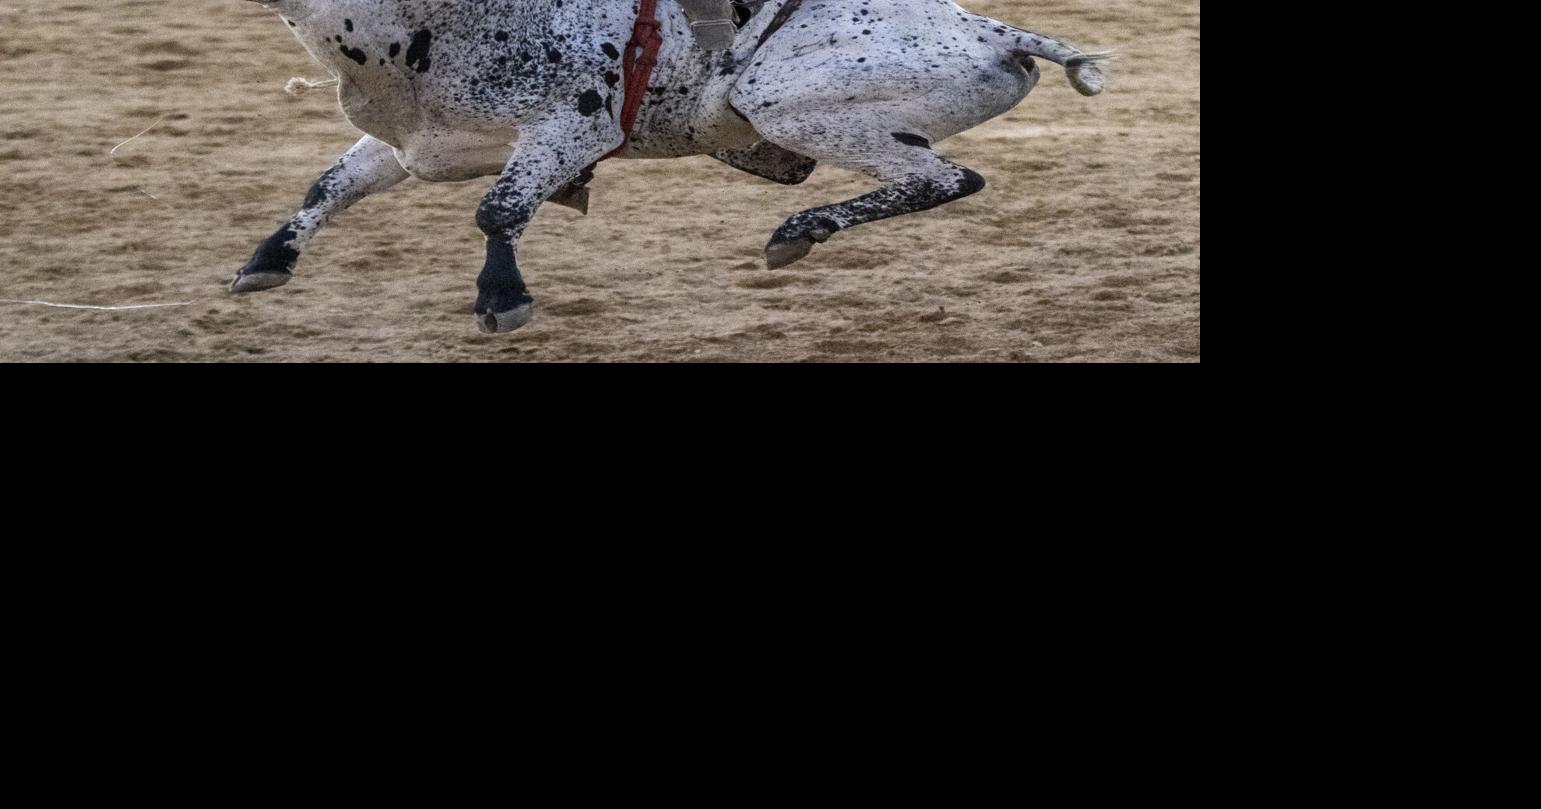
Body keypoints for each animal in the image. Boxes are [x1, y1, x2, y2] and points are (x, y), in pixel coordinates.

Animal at [234, 0, 1108, 334]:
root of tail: (990, 29)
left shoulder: (569, 124)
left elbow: (500, 209)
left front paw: (502, 300)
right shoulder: (419, 141)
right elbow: (329, 186)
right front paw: (265, 261)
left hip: (788, 100)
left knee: (948, 179)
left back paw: (796, 229)